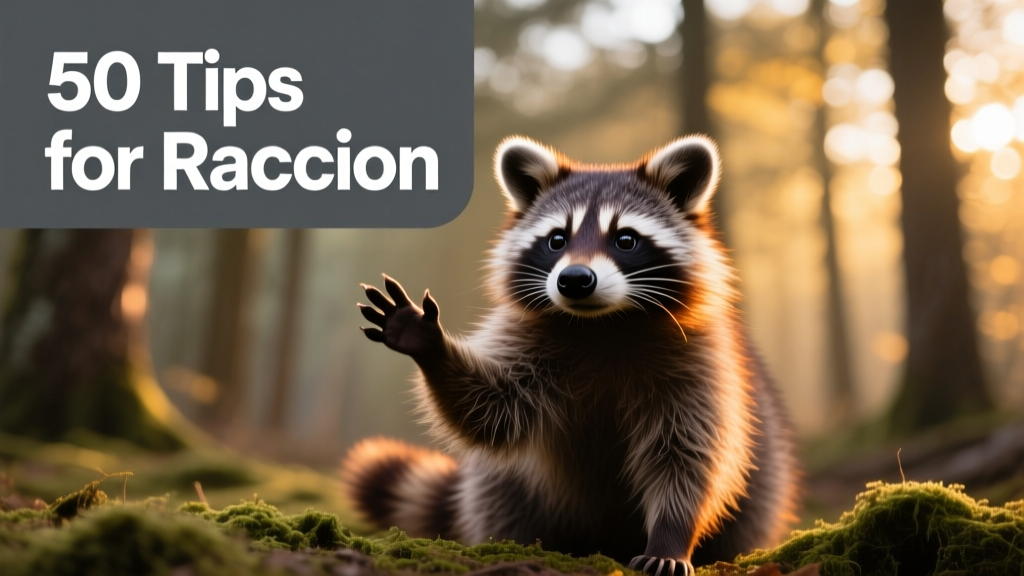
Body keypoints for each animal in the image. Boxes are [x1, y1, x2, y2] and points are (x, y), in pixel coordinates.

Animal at [345, 136, 799, 576]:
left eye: (626, 239)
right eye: (556, 239)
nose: (575, 280)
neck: (603, 325)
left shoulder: (699, 359)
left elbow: (690, 454)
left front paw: (670, 538)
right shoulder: (528, 338)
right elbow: (493, 411)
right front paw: (429, 345)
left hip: (765, 480)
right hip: (511, 490)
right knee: (499, 488)